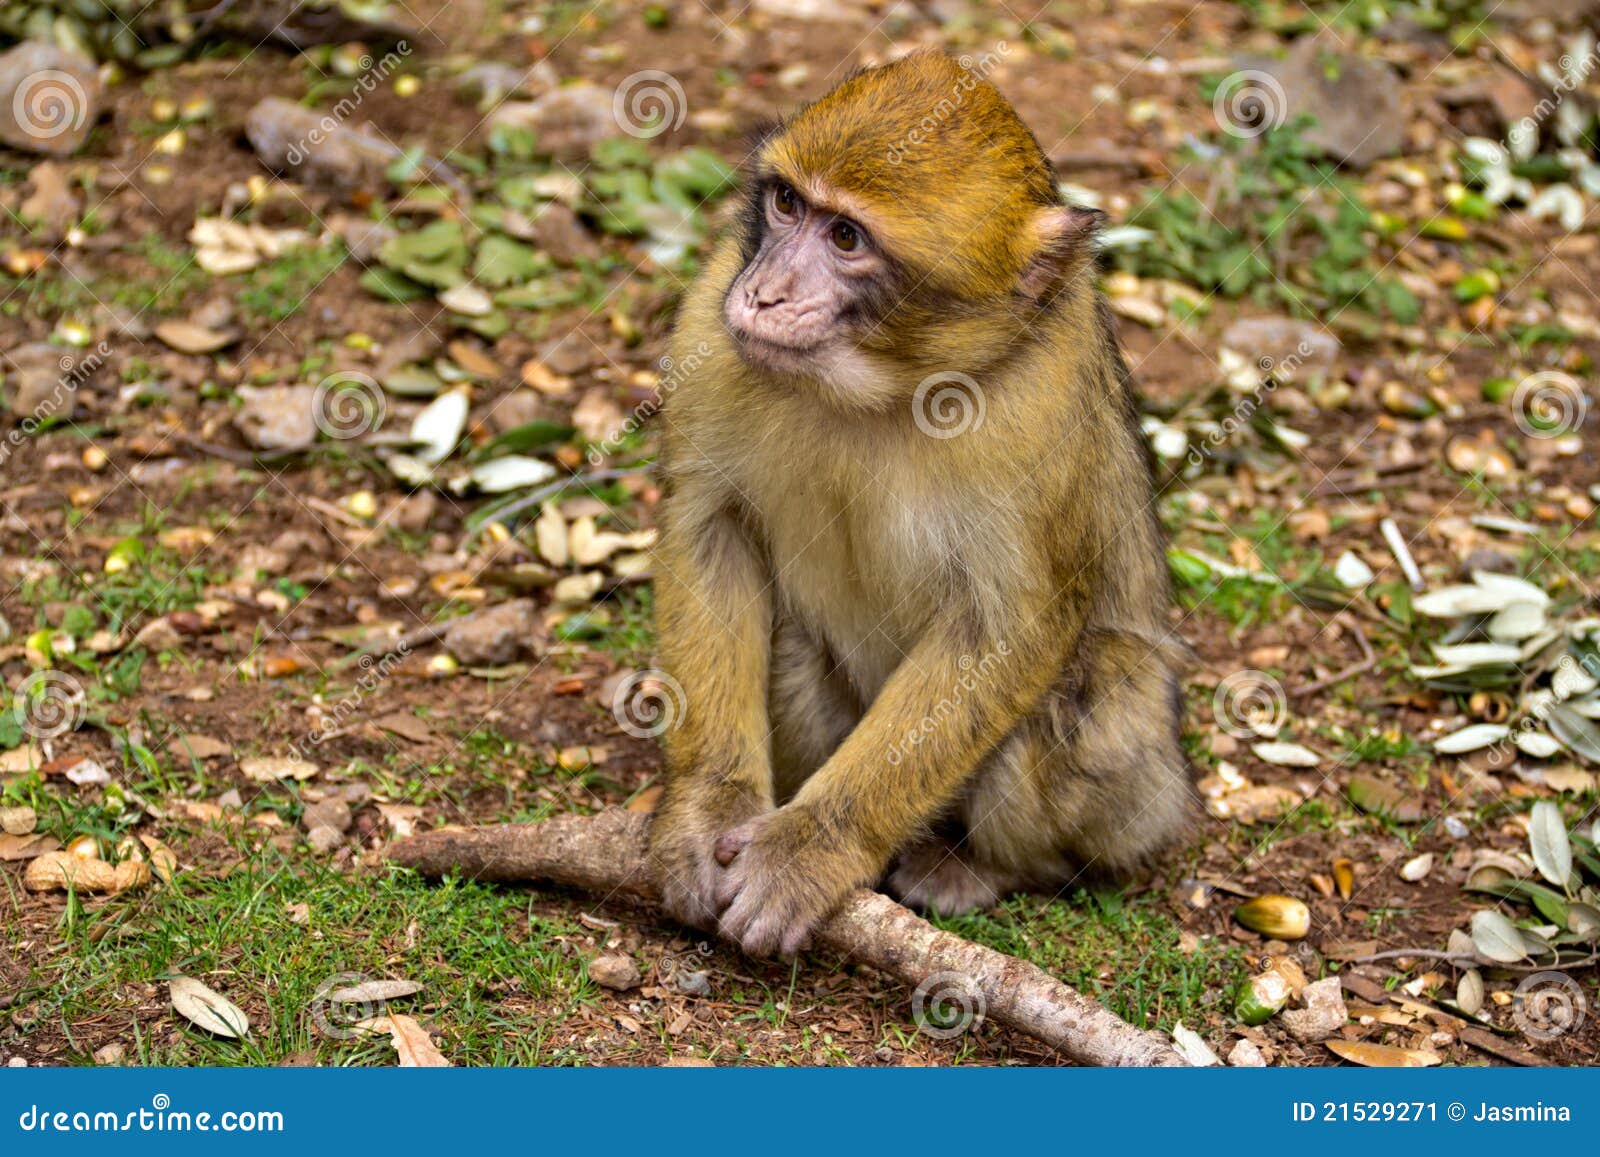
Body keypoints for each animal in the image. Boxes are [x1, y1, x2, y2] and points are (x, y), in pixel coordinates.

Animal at [645, 50, 1195, 957]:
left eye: (847, 238)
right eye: (788, 204)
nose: (762, 295)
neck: (881, 388)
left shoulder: (1035, 404)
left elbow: (1009, 632)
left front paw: (813, 845)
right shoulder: (706, 324)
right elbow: (711, 530)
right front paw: (704, 806)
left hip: (1138, 787)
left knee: (1086, 687)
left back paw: (985, 864)